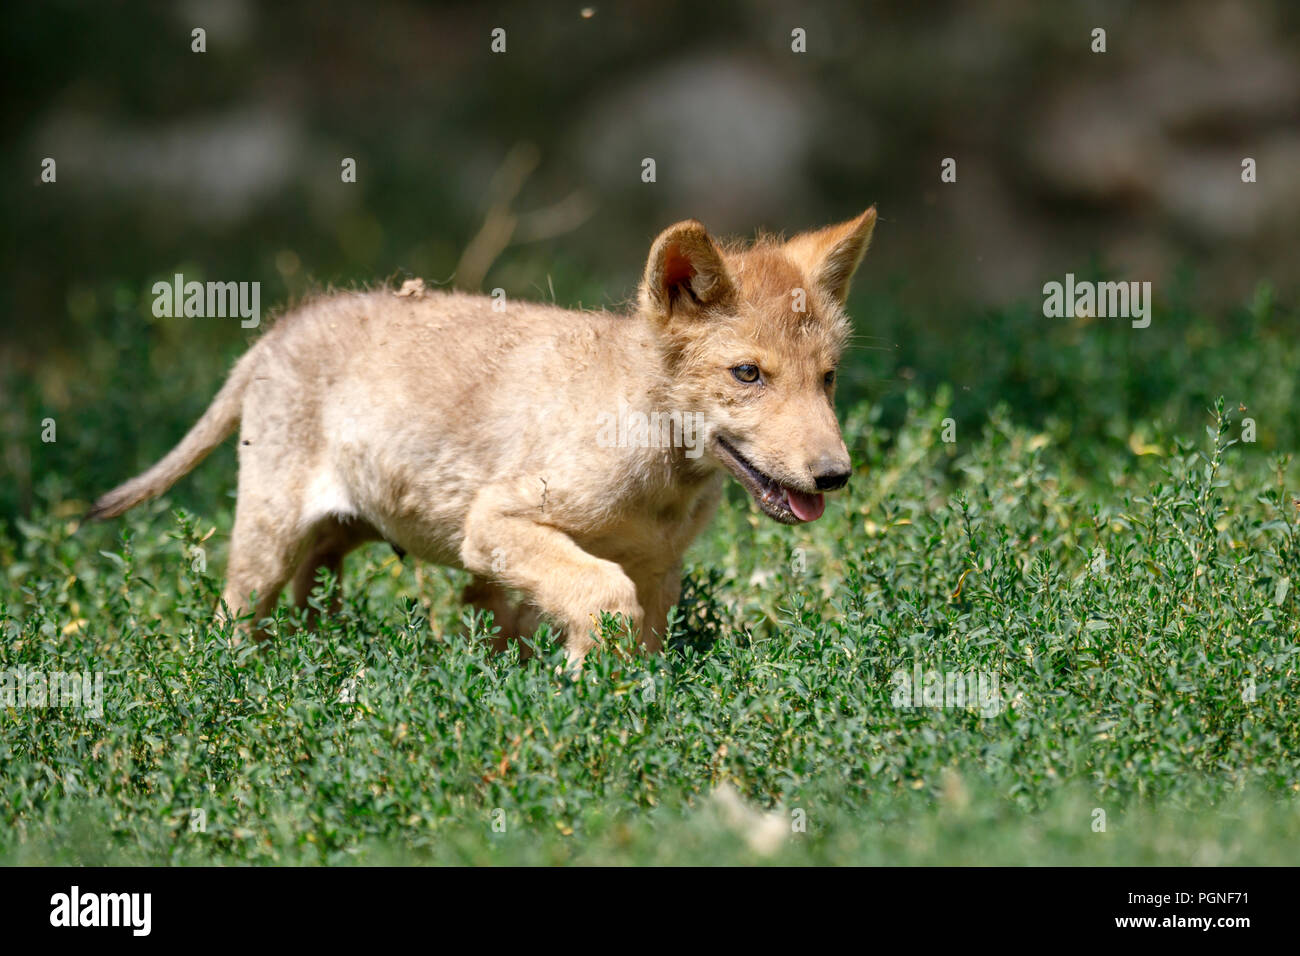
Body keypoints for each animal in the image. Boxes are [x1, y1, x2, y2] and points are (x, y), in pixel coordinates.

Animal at [89, 209, 877, 665]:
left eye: (828, 379)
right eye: (748, 374)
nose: (835, 475)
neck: (661, 476)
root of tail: (274, 332)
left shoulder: (659, 571)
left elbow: (629, 635)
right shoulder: (494, 524)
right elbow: (602, 597)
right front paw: (585, 705)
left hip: (344, 530)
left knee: (315, 596)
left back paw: (324, 656)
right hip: (267, 538)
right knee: (235, 615)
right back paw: (237, 681)